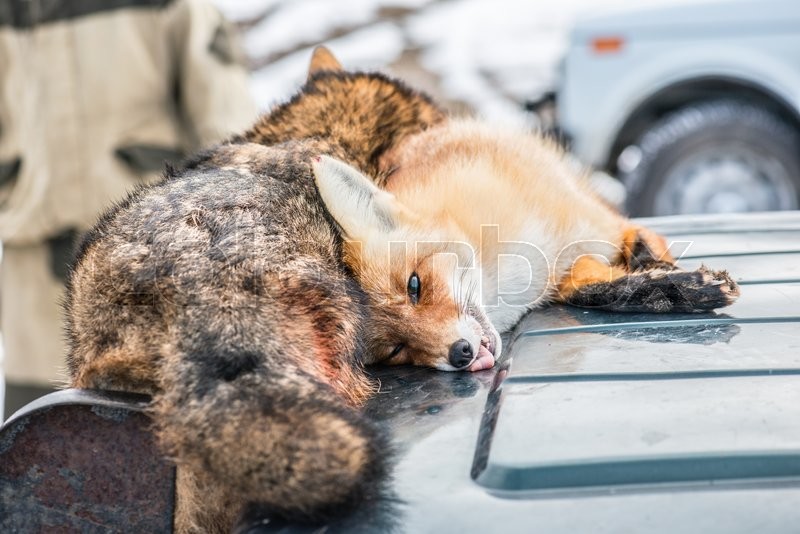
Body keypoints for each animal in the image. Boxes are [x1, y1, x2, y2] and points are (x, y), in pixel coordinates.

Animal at [312, 120, 741, 373]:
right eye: (397, 350)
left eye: (414, 286)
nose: (459, 354)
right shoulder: (565, 276)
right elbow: (598, 292)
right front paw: (672, 287)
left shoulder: (601, 227)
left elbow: (640, 249)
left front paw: (677, 283)